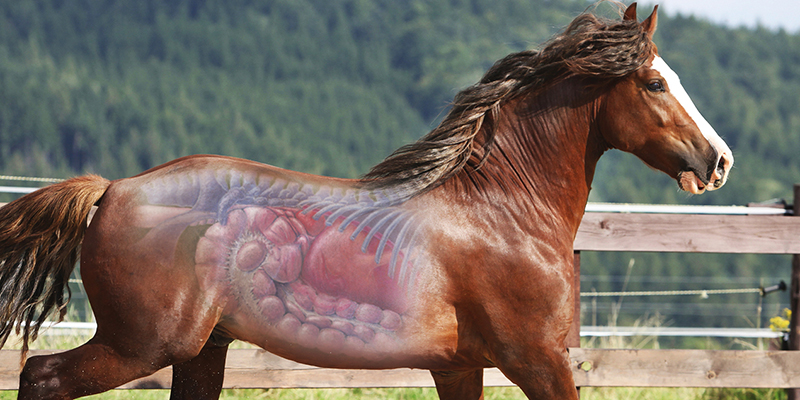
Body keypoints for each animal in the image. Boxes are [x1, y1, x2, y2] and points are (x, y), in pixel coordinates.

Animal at [0, 3, 732, 399]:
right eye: (655, 83)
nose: (717, 160)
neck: (502, 214)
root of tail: (114, 189)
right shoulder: (537, 358)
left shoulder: (459, 366)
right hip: (142, 342)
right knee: (39, 375)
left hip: (201, 349)